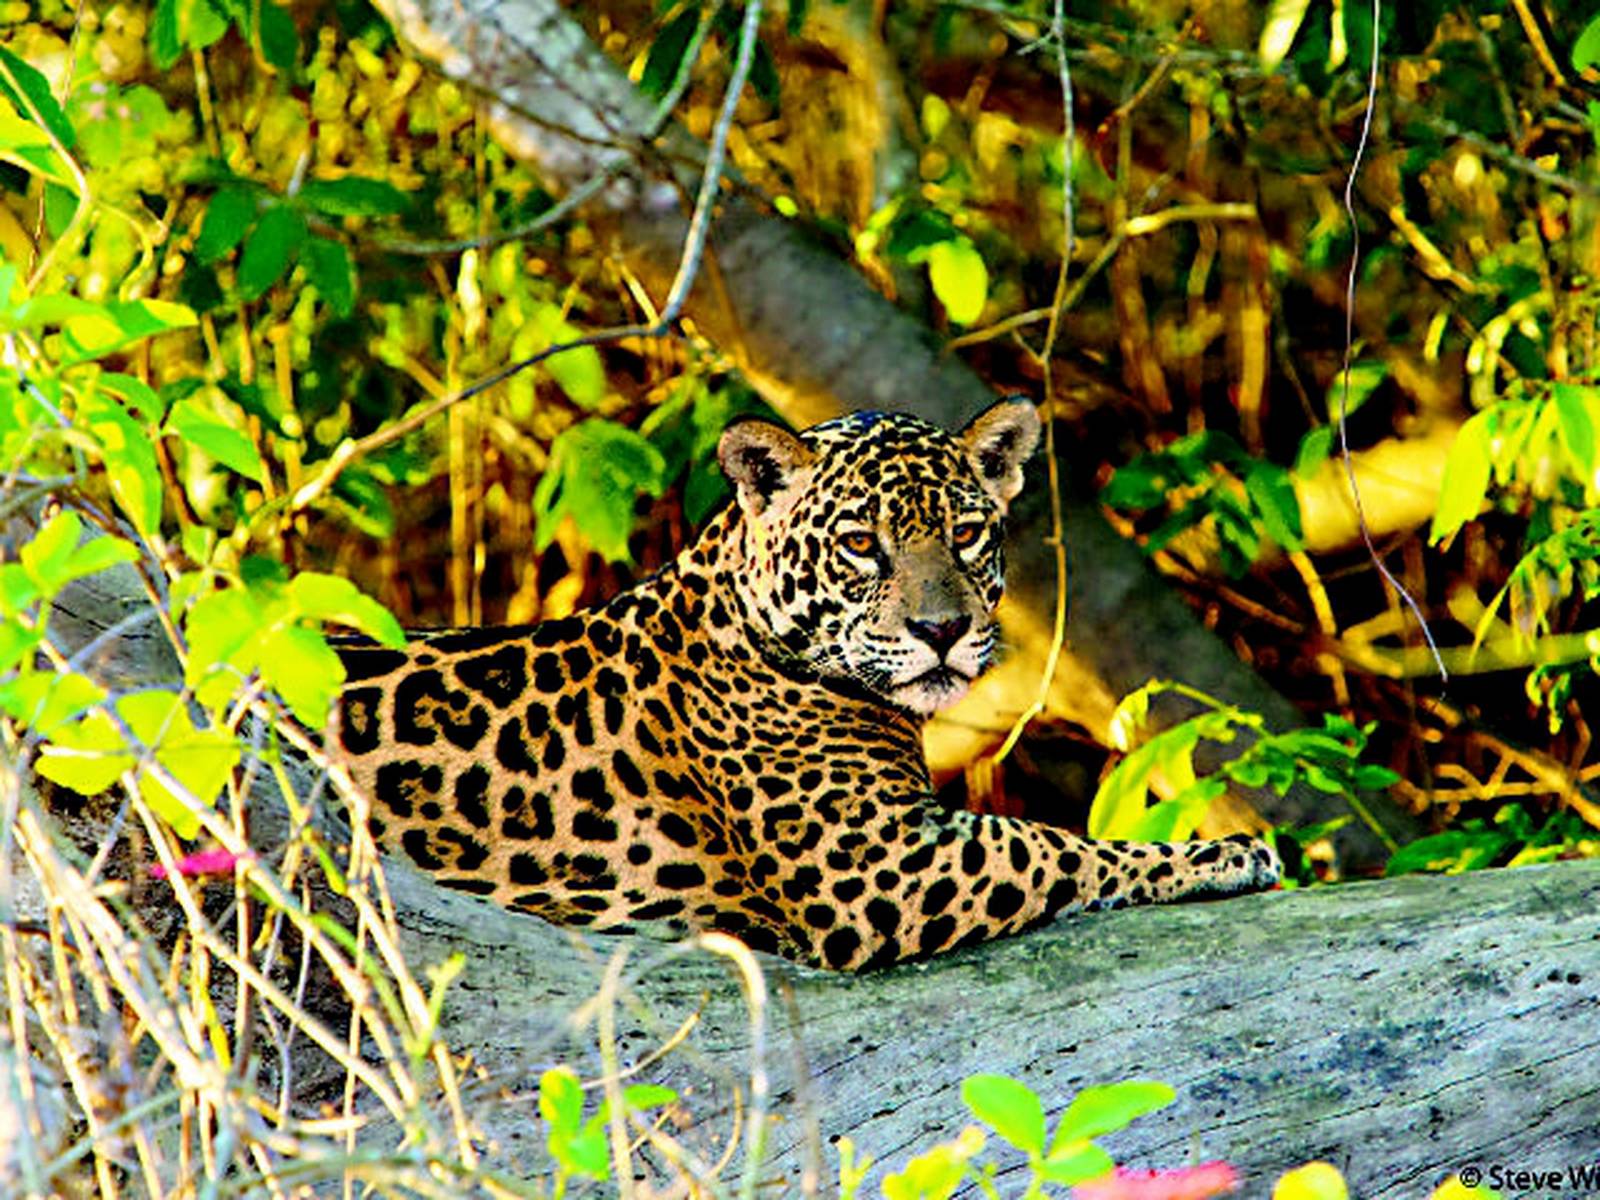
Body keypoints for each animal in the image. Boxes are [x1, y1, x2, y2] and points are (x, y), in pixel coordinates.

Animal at [330, 397, 1281, 971]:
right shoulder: (875, 863)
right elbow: (1049, 843)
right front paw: (1226, 855)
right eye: (861, 544)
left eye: (968, 532)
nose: (943, 631)